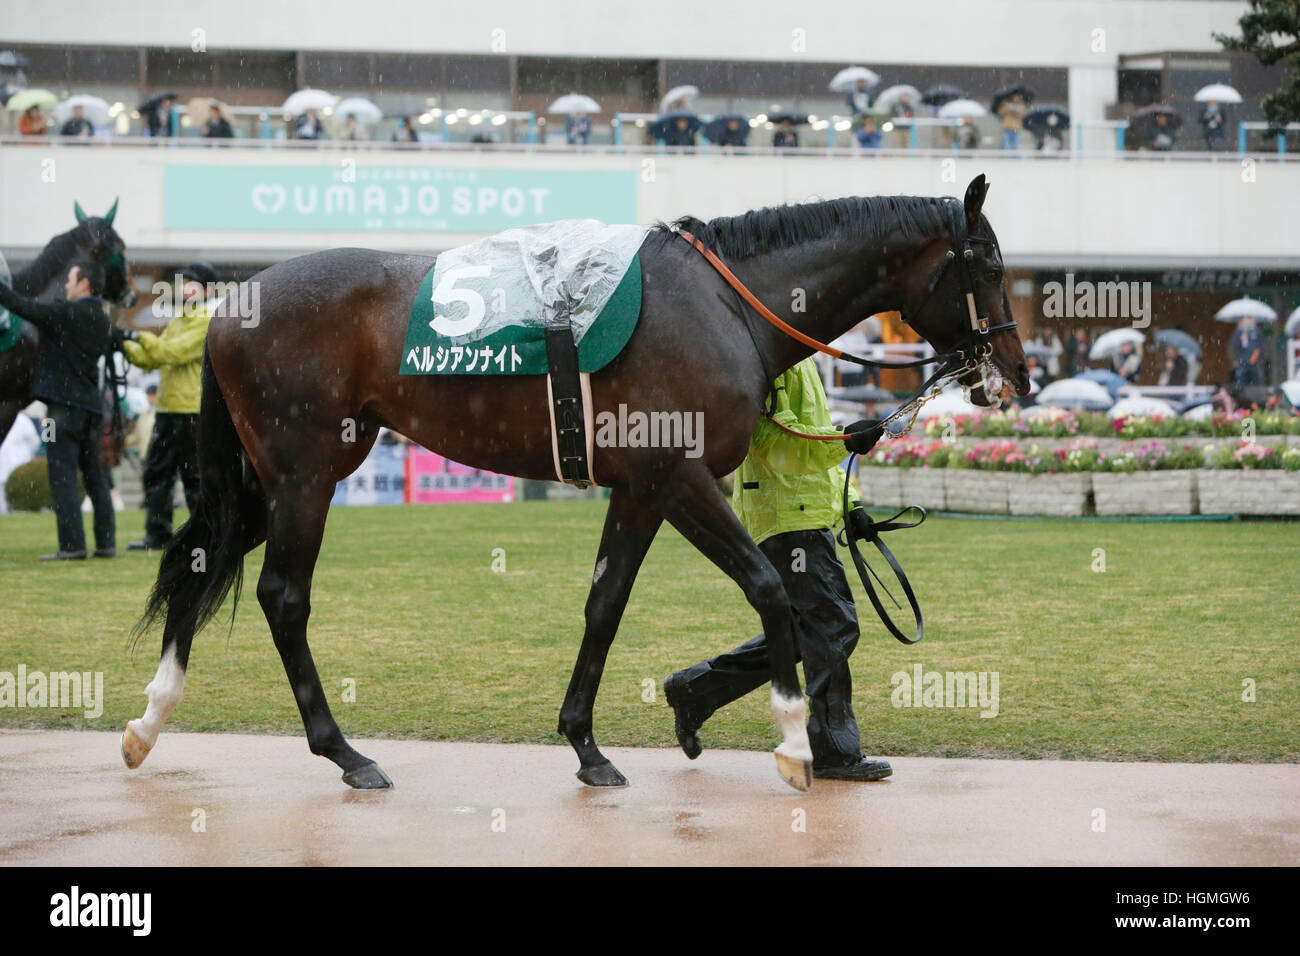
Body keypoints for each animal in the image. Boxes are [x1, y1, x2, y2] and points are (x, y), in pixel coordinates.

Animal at [124, 175, 1029, 793]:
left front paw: (587, 746)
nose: (1016, 374)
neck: (722, 303)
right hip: (306, 475)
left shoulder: (638, 490)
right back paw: (343, 752)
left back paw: (150, 719)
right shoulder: (680, 478)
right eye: (985, 259)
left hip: (274, 479)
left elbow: (605, 607)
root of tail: (235, 300)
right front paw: (790, 742)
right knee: (282, 597)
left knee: (198, 563)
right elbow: (771, 590)